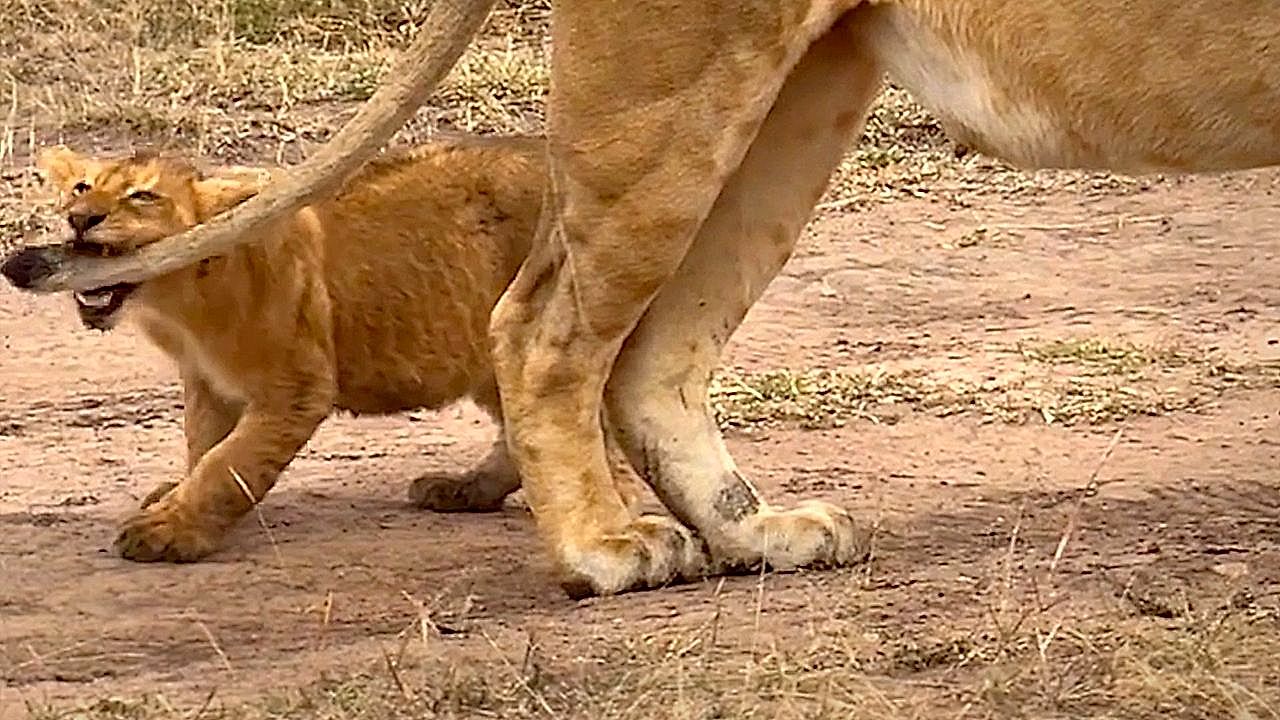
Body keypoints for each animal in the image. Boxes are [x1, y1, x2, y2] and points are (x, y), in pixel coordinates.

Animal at [5, 138, 644, 563]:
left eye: (142, 196)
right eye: (82, 187)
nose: (80, 218)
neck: (178, 300)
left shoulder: (297, 385)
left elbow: (230, 463)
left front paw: (171, 530)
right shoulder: (206, 380)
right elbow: (203, 443)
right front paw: (172, 498)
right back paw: (463, 489)